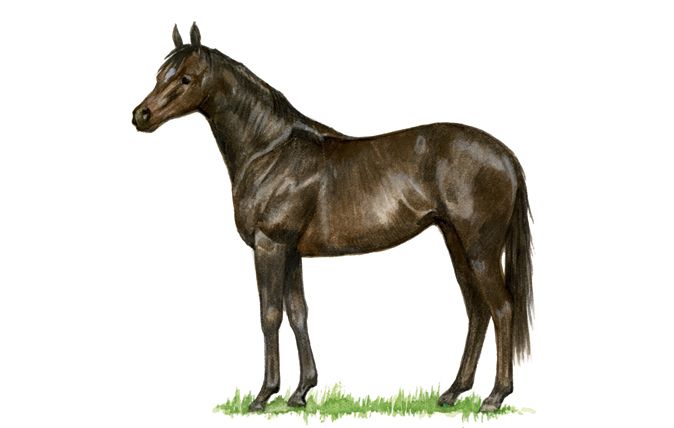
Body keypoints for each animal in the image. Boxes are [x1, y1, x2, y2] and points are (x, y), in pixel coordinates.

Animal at [132, 23, 533, 413]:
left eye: (186, 78)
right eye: (159, 74)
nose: (141, 116)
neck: (271, 151)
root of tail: (505, 155)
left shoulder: (269, 245)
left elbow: (269, 315)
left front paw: (264, 395)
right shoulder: (291, 251)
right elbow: (298, 313)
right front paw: (300, 392)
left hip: (480, 249)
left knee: (501, 308)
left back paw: (495, 397)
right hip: (456, 242)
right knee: (477, 310)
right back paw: (453, 392)